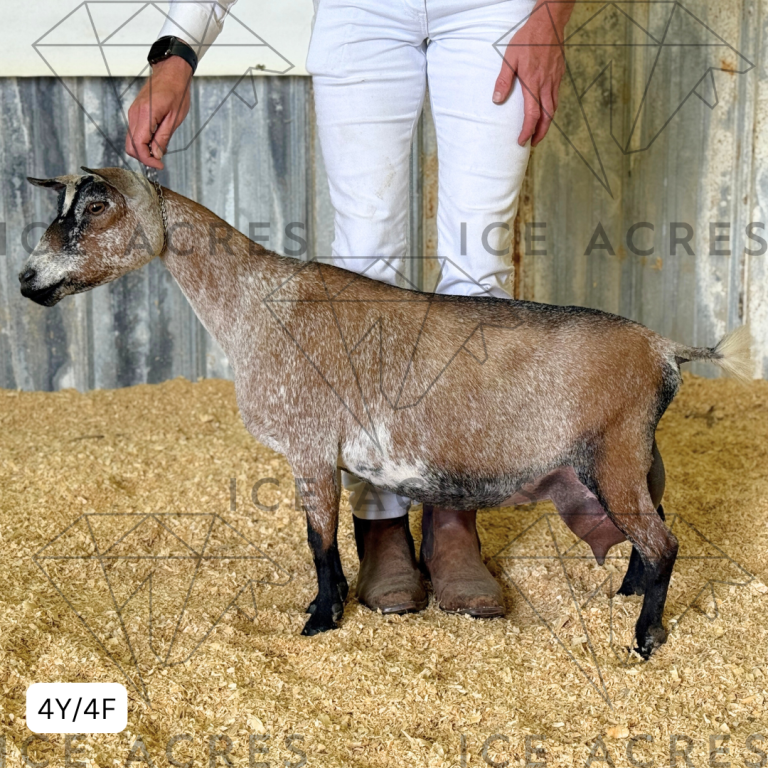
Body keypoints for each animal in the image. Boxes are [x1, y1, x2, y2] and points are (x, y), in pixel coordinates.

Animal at [20, 167, 752, 657]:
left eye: (93, 206)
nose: (27, 280)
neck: (257, 304)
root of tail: (664, 347)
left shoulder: (310, 446)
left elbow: (319, 542)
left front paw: (321, 617)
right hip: (635, 456)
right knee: (657, 528)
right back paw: (628, 593)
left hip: (616, 454)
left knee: (664, 541)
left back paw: (646, 636)